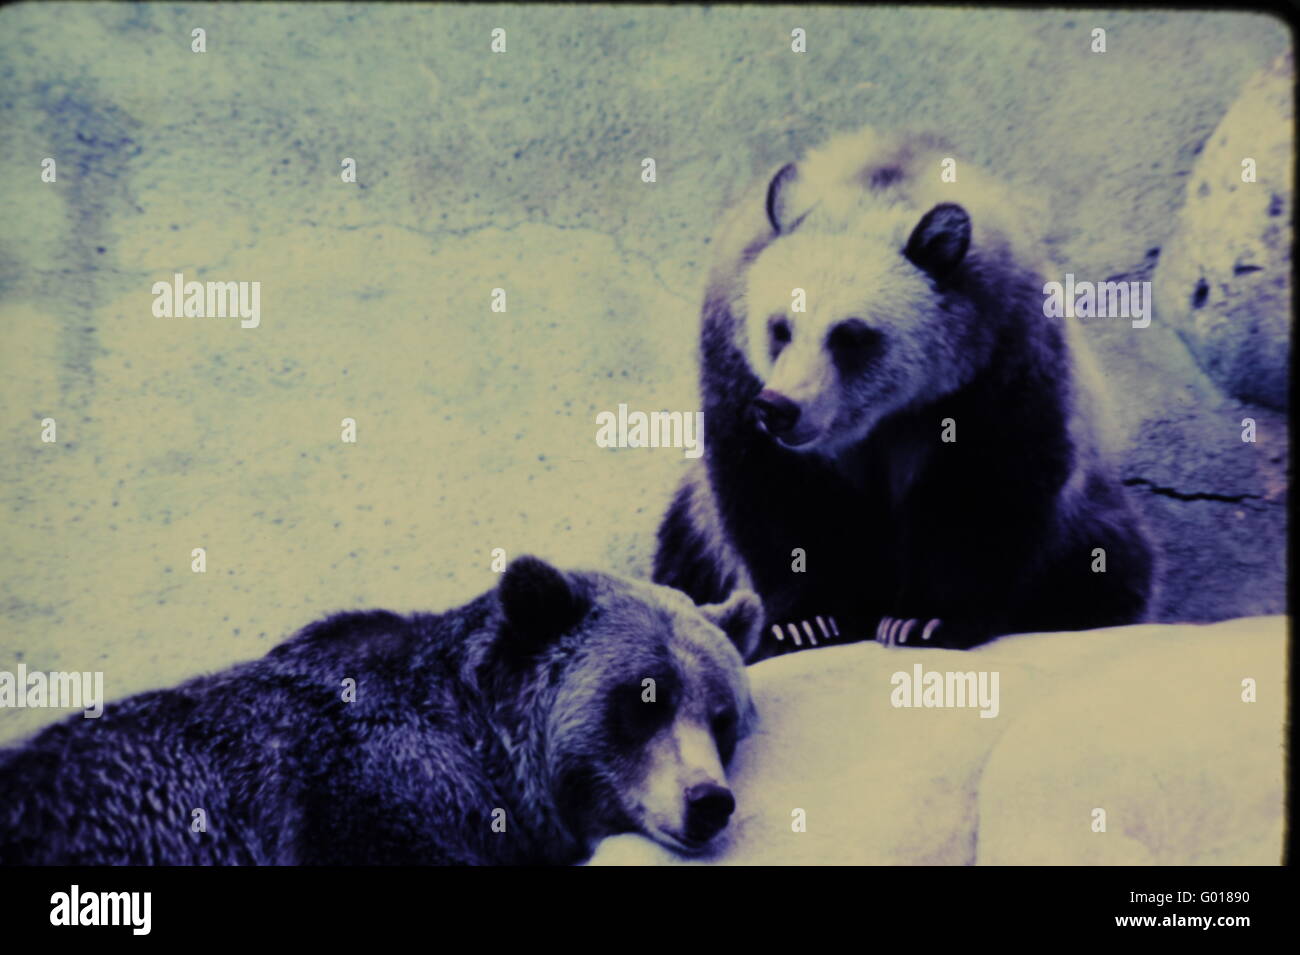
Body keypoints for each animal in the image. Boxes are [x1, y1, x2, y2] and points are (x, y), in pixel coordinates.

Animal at [654, 127, 1155, 661]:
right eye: (779, 329)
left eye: (851, 337)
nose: (781, 409)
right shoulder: (732, 355)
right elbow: (771, 486)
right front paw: (806, 623)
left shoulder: (1000, 353)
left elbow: (982, 484)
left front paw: (923, 621)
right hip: (698, 525)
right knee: (687, 556)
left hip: (1081, 514)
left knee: (1108, 561)